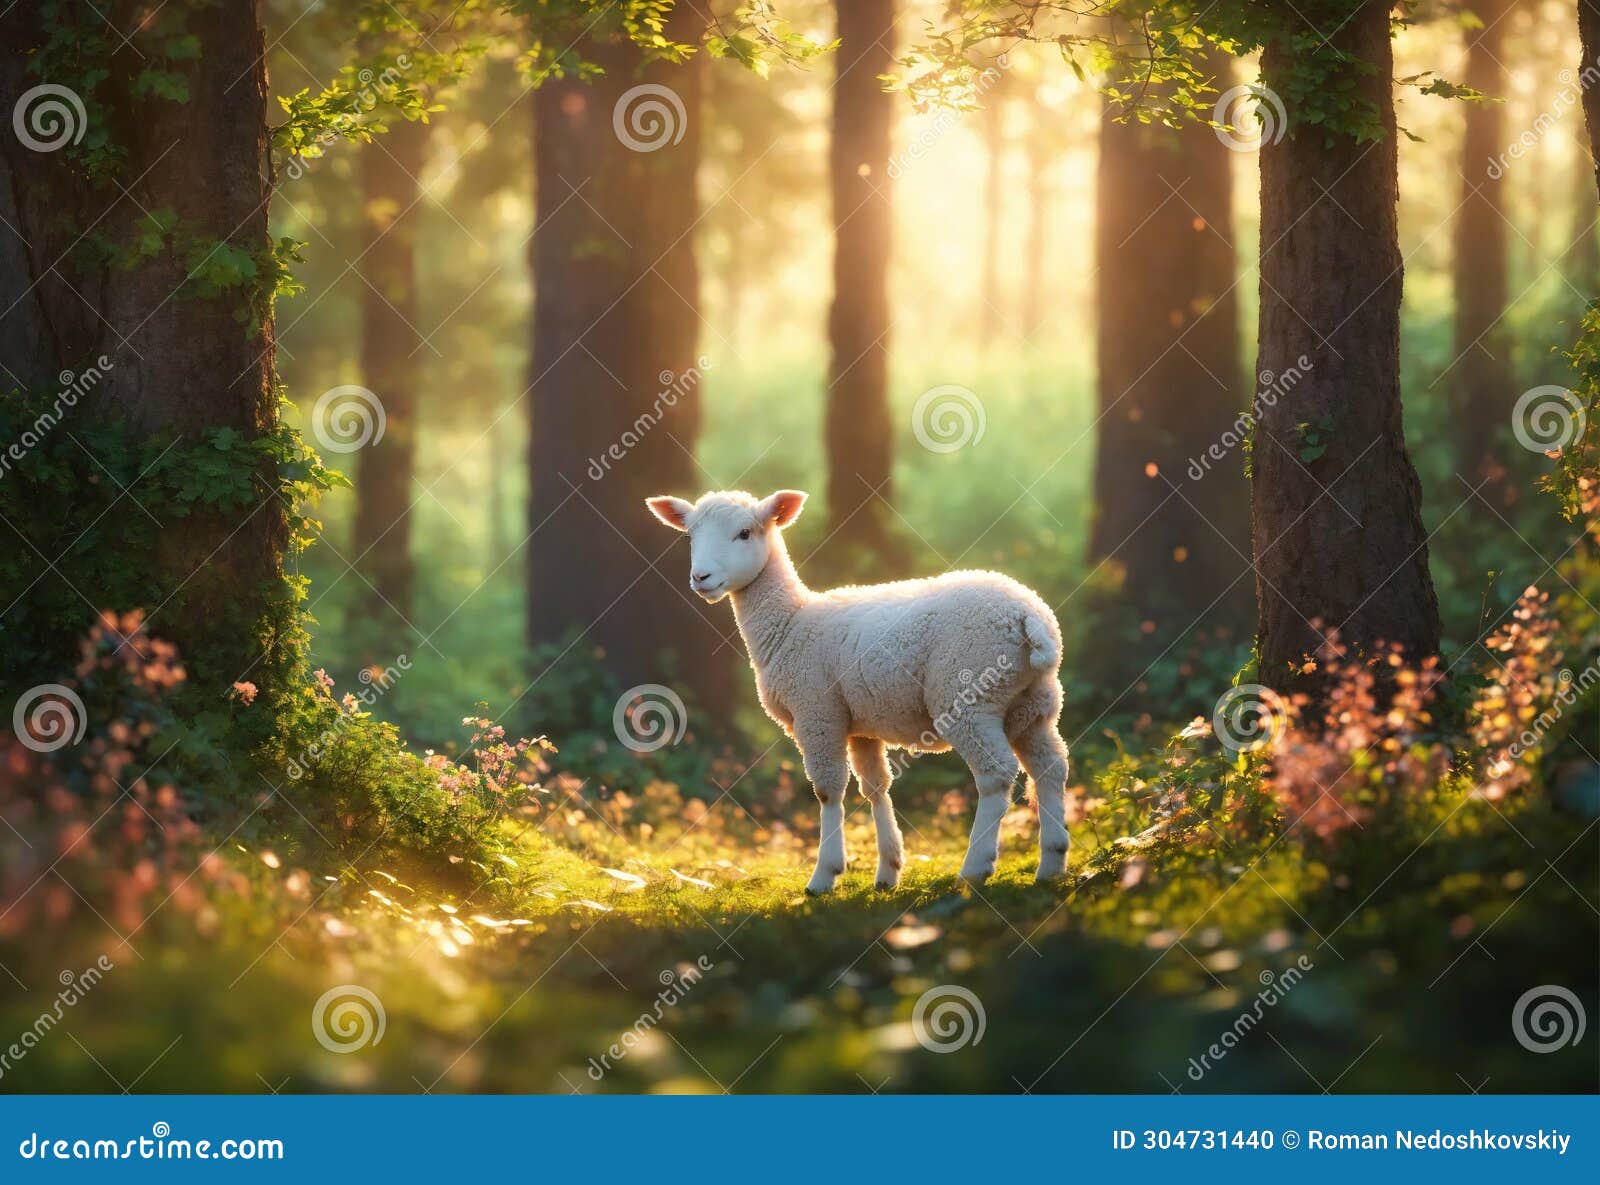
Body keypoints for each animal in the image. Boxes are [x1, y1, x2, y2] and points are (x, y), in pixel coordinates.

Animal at [645, 489, 1070, 893]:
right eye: (691, 535)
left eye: (745, 533)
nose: (701, 577)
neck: (790, 623)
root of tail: (1029, 614)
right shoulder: (861, 725)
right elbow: (876, 787)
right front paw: (888, 871)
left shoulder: (817, 712)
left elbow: (828, 790)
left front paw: (824, 875)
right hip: (1034, 703)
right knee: (1050, 767)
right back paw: (1052, 864)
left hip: (969, 693)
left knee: (996, 774)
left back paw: (975, 869)